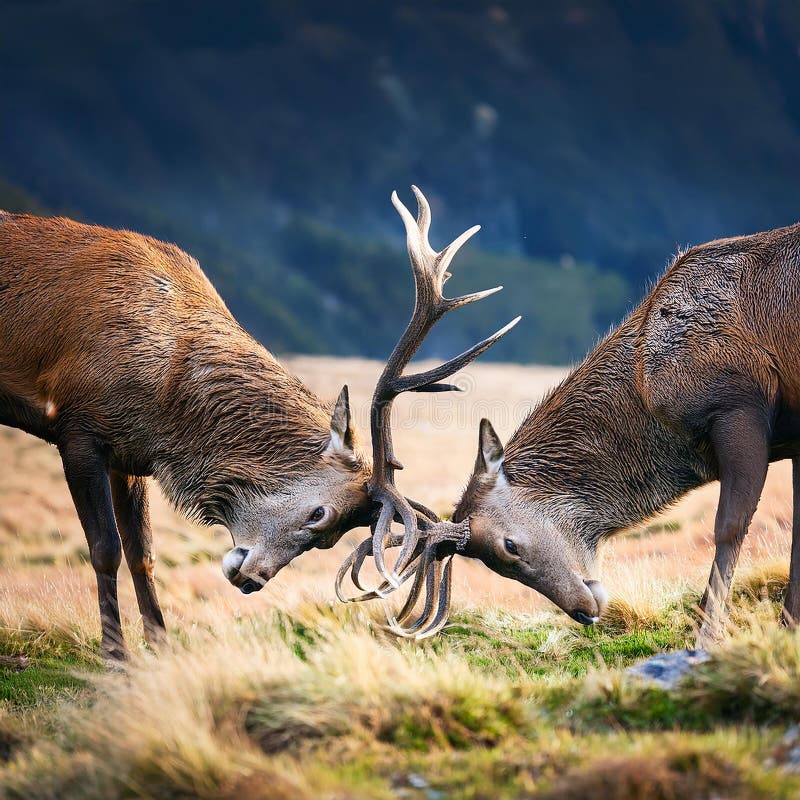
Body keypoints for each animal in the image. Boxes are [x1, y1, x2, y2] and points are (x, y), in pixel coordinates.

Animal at [340, 200, 800, 648]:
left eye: (508, 545)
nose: (584, 613)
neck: (649, 384)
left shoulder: (738, 406)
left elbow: (729, 528)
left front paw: (707, 637)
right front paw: (787, 629)